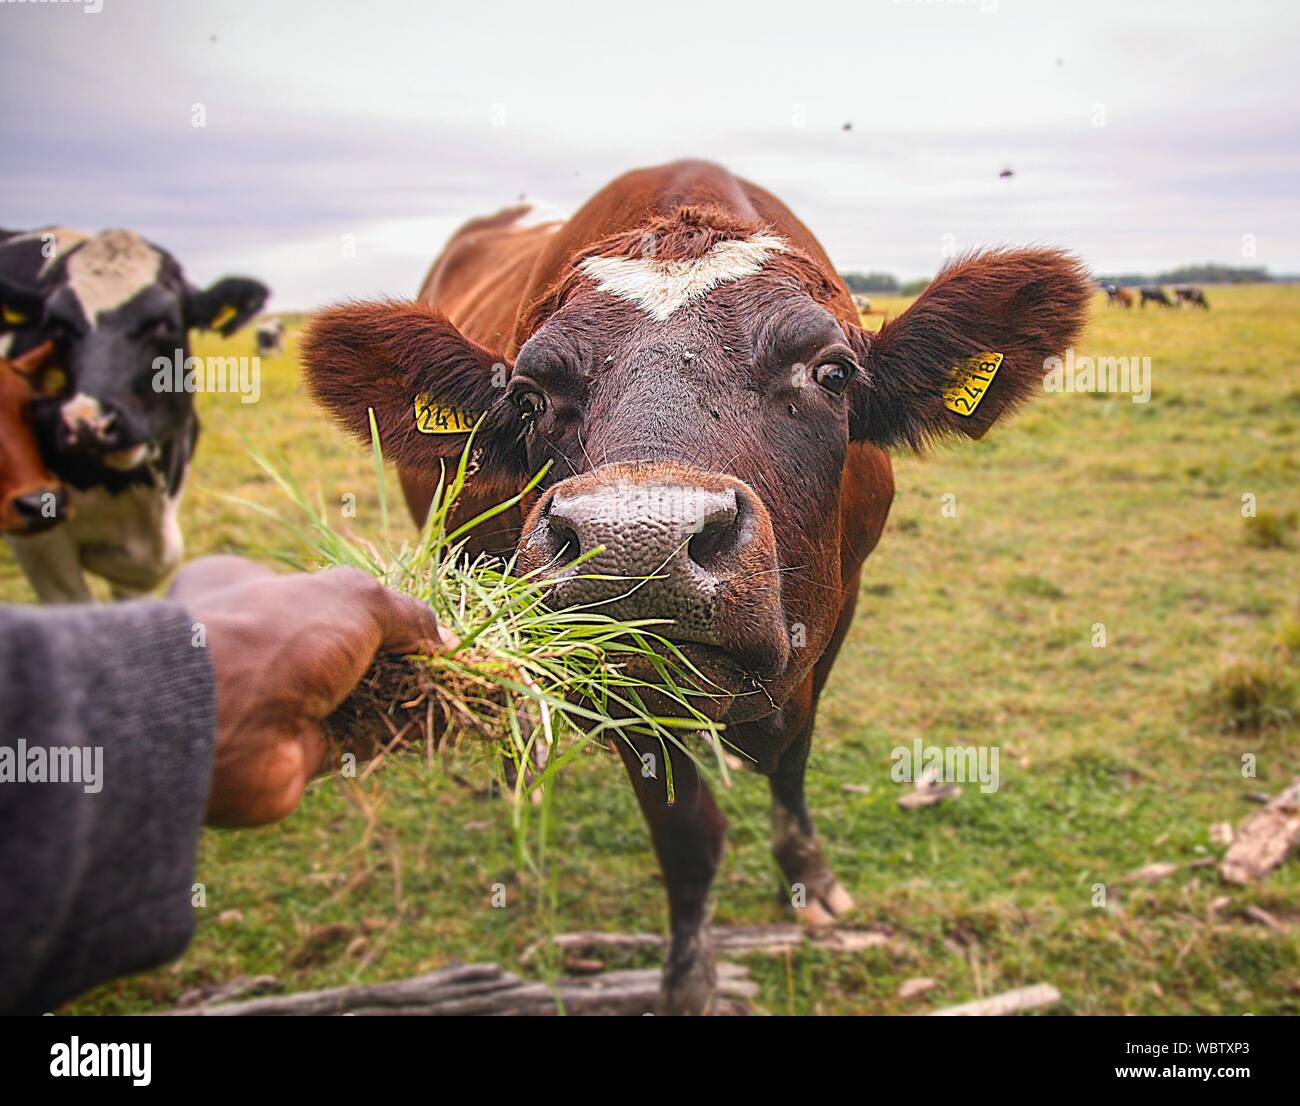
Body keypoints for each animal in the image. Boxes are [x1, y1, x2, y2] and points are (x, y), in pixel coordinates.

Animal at [301, 160, 1090, 1014]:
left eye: (831, 371)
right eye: (528, 396)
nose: (635, 544)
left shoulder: (836, 615)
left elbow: (793, 764)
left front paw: (808, 878)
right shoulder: (616, 678)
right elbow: (687, 838)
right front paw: (690, 978)